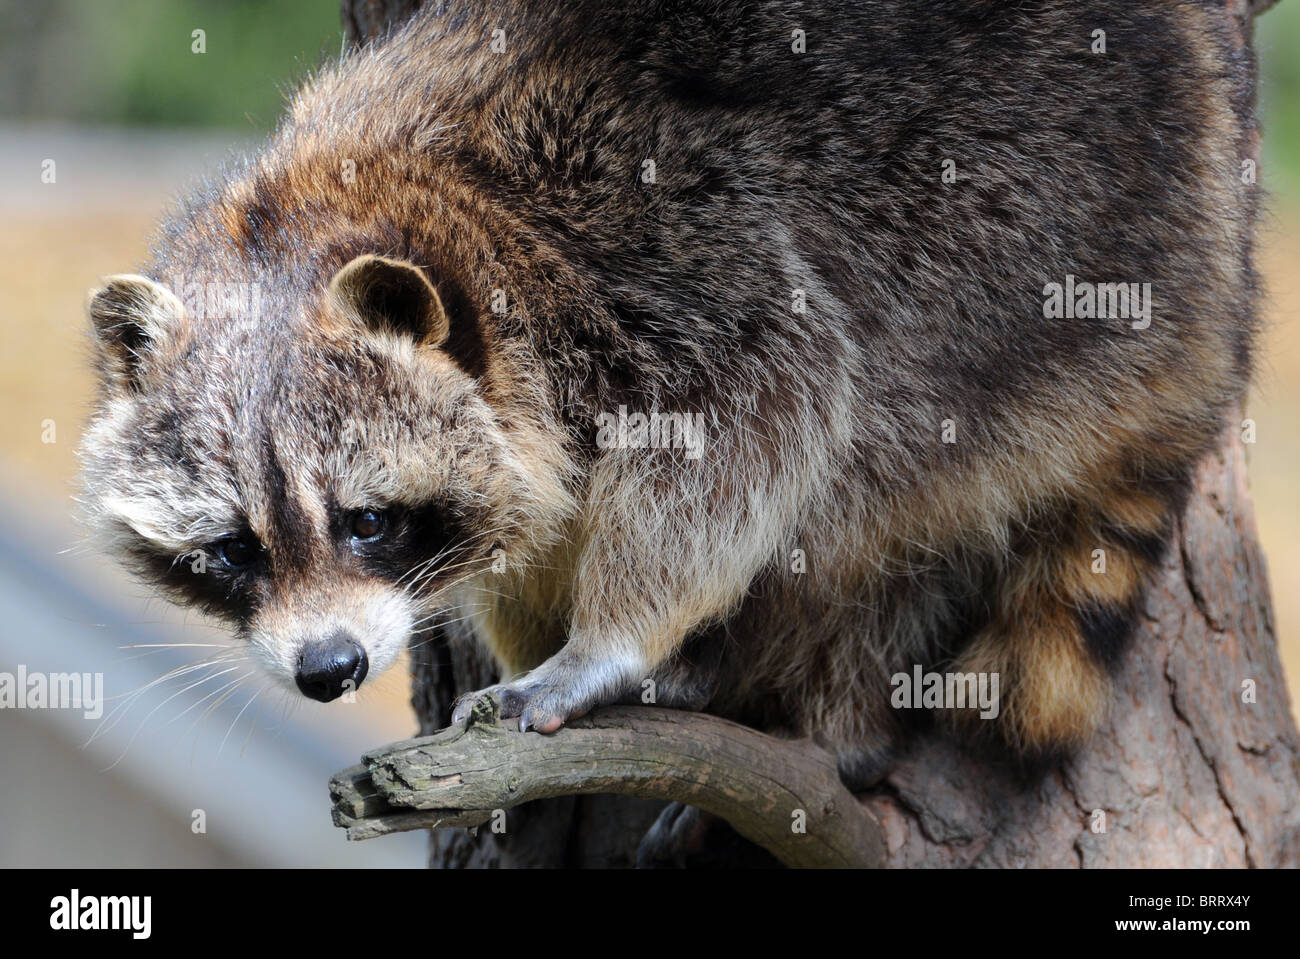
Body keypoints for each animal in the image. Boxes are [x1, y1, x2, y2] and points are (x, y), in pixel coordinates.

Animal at [79, 0, 1258, 788]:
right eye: (233, 549)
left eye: (367, 521)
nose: (330, 668)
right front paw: (532, 601)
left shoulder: (675, 242)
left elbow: (769, 411)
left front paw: (608, 639)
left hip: (1048, 275)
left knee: (878, 480)